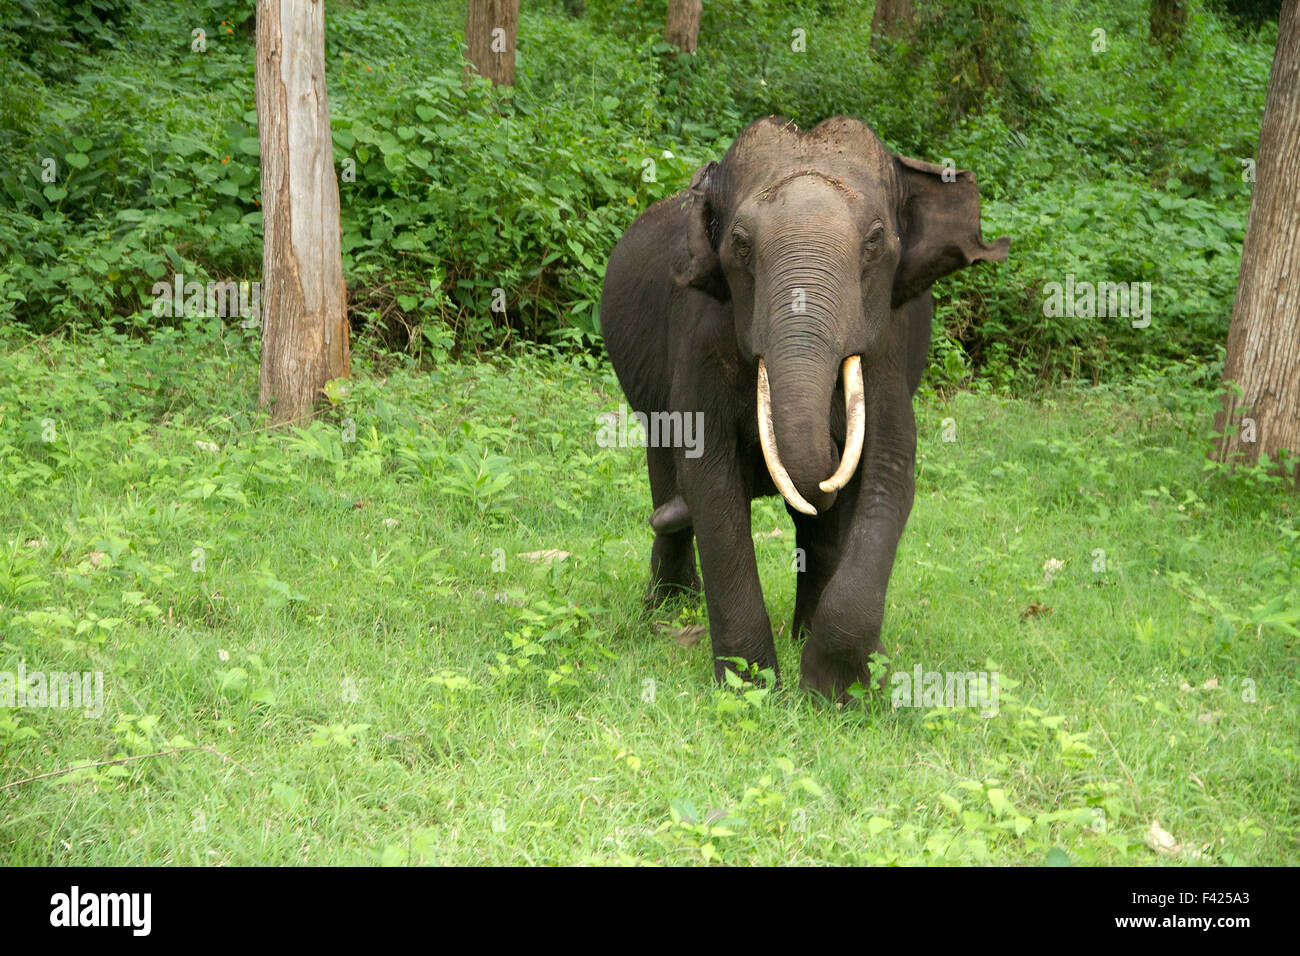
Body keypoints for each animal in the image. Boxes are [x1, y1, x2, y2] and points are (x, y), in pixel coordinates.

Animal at [600, 116, 1008, 702]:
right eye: (740, 245)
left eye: (875, 240)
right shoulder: (701, 332)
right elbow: (709, 476)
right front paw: (751, 686)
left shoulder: (888, 342)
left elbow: (889, 469)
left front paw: (836, 691)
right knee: (663, 461)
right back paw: (670, 605)